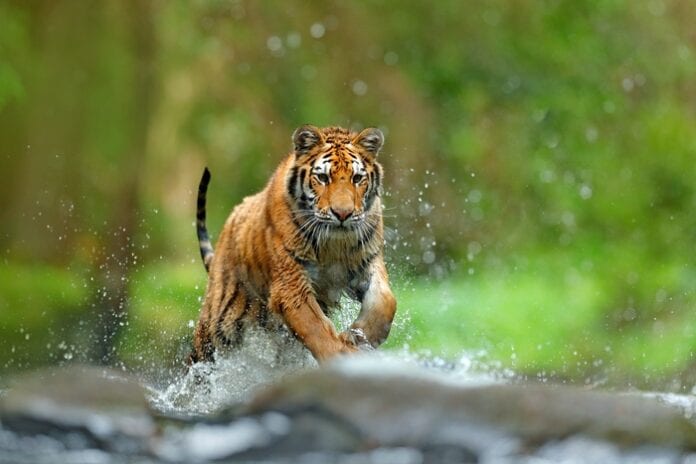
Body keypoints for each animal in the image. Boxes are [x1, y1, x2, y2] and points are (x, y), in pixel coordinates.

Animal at [189, 125, 397, 364]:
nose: (343, 214)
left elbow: (385, 300)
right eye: (323, 177)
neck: (334, 244)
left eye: (357, 178)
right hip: (218, 325)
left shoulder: (367, 261)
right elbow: (315, 329)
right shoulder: (290, 283)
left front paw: (358, 337)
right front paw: (345, 357)